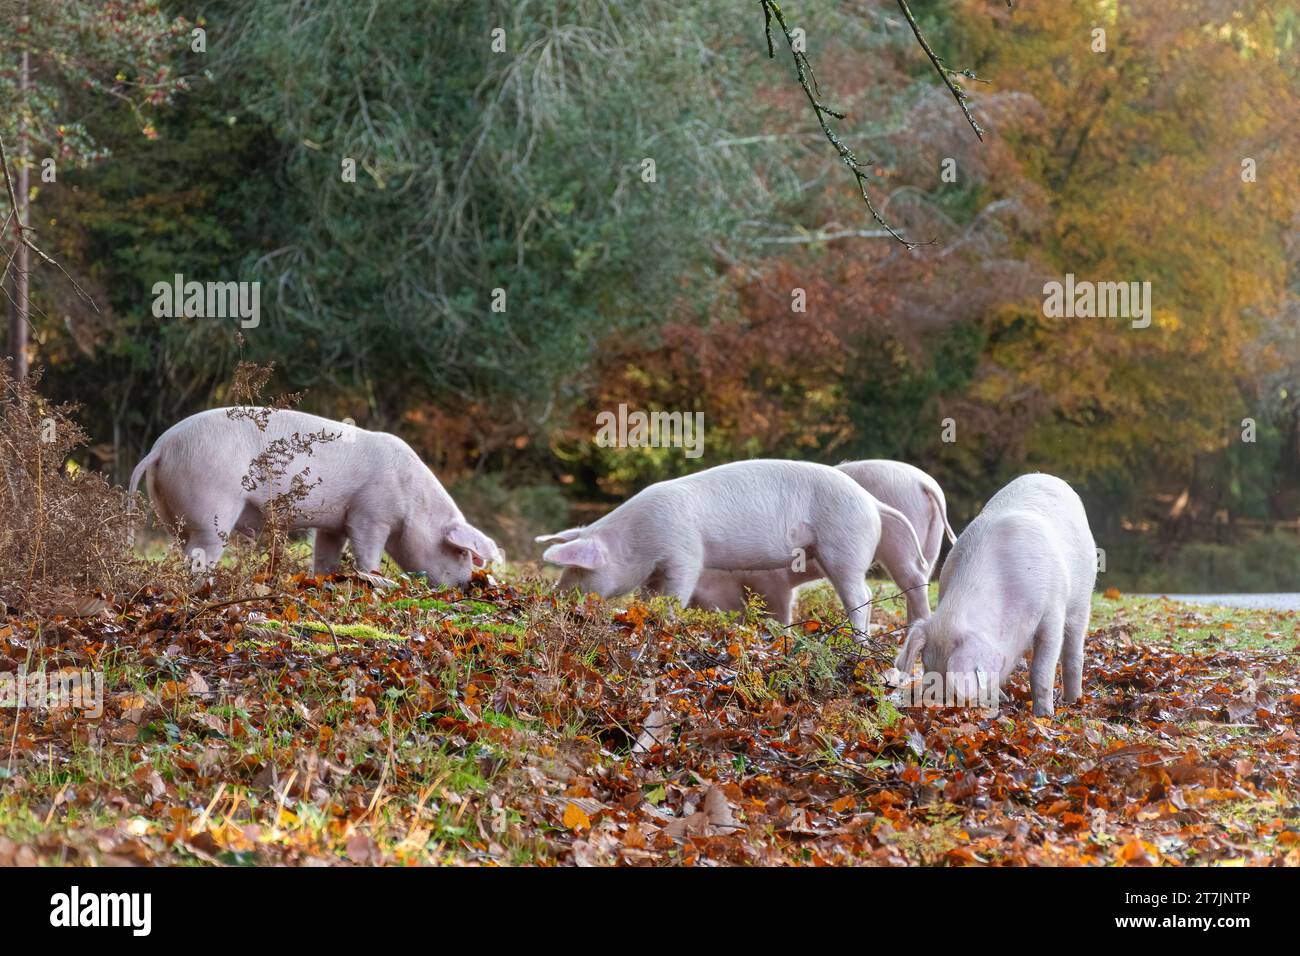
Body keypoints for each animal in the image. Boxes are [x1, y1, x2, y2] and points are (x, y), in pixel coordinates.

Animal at [129, 408, 502, 586]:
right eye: (461, 553)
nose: (466, 585)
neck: (415, 504)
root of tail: (160, 447)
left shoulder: (334, 523)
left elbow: (326, 554)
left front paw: (323, 579)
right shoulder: (371, 515)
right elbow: (368, 550)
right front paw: (377, 580)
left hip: (174, 513)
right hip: (212, 508)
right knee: (200, 555)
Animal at [536, 459, 917, 639]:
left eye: (578, 568)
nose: (558, 596)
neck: (637, 539)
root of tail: (871, 502)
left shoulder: (685, 552)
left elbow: (676, 593)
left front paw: (666, 622)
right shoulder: (654, 571)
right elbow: (648, 596)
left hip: (845, 548)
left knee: (861, 596)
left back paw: (858, 643)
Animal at [689, 460, 955, 624]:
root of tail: (924, 482)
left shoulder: (773, 581)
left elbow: (781, 612)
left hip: (898, 544)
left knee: (913, 583)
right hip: (930, 548)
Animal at [892, 473, 1096, 717]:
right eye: (925, 666)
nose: (935, 702)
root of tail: (1047, 476)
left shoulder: (1052, 610)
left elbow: (1041, 669)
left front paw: (1044, 715)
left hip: (1082, 600)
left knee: (1073, 652)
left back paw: (1073, 701)